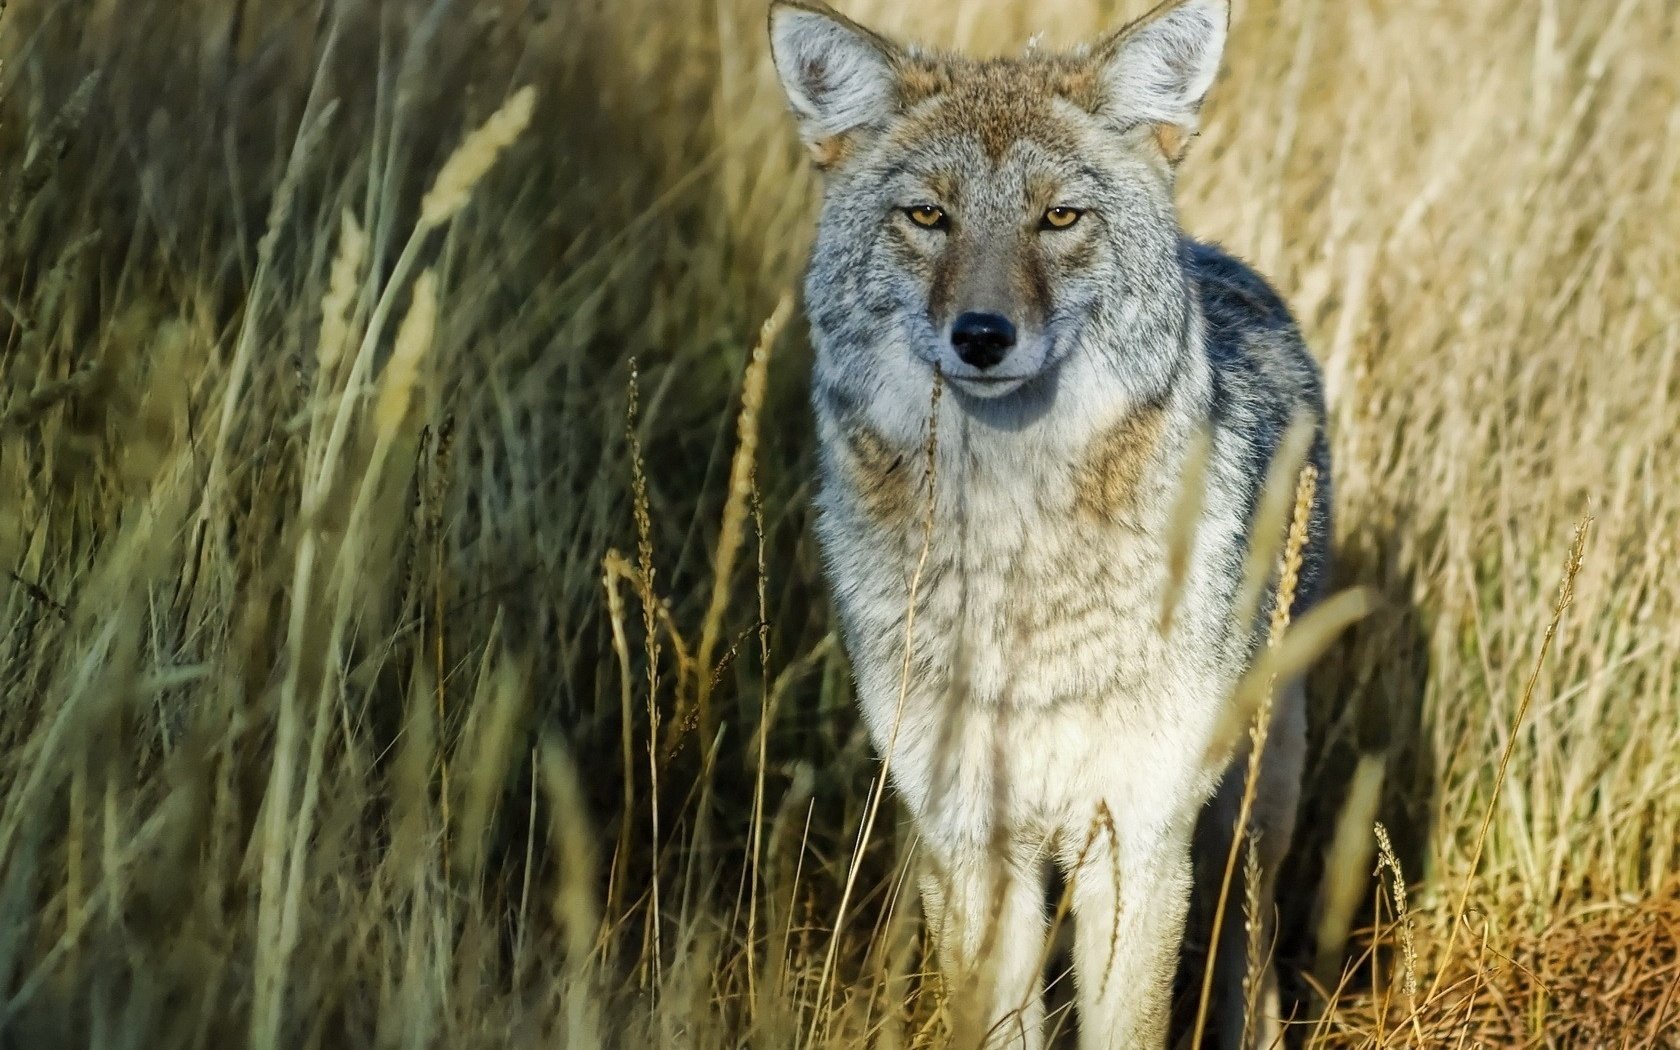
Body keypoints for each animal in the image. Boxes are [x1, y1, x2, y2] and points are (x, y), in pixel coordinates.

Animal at [768, 0, 1332, 1046]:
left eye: (1059, 217)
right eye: (929, 216)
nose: (983, 336)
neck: (1014, 560)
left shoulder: (1138, 843)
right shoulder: (970, 842)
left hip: (1248, 809)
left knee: (1253, 943)